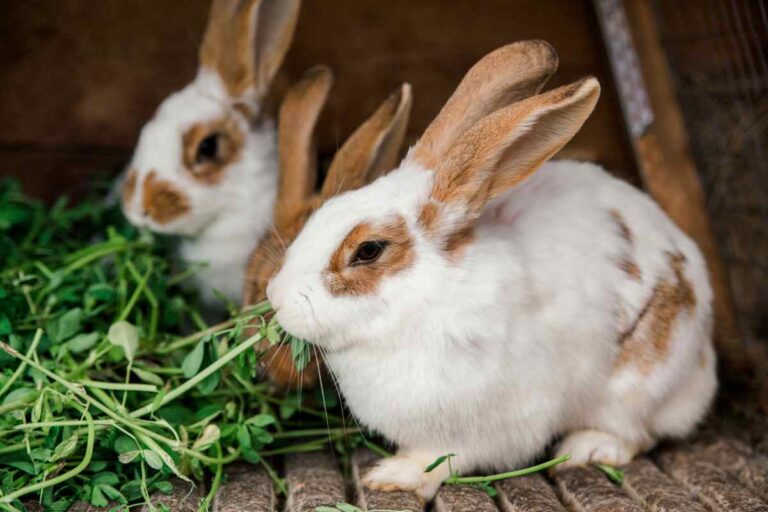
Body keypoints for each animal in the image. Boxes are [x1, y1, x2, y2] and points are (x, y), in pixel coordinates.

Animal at [264, 40, 717, 499]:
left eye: (367, 251)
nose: (275, 297)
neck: (423, 301)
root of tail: (704, 365)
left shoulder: (491, 422)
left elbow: (443, 457)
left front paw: (394, 476)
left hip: (637, 383)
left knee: (636, 433)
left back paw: (587, 448)